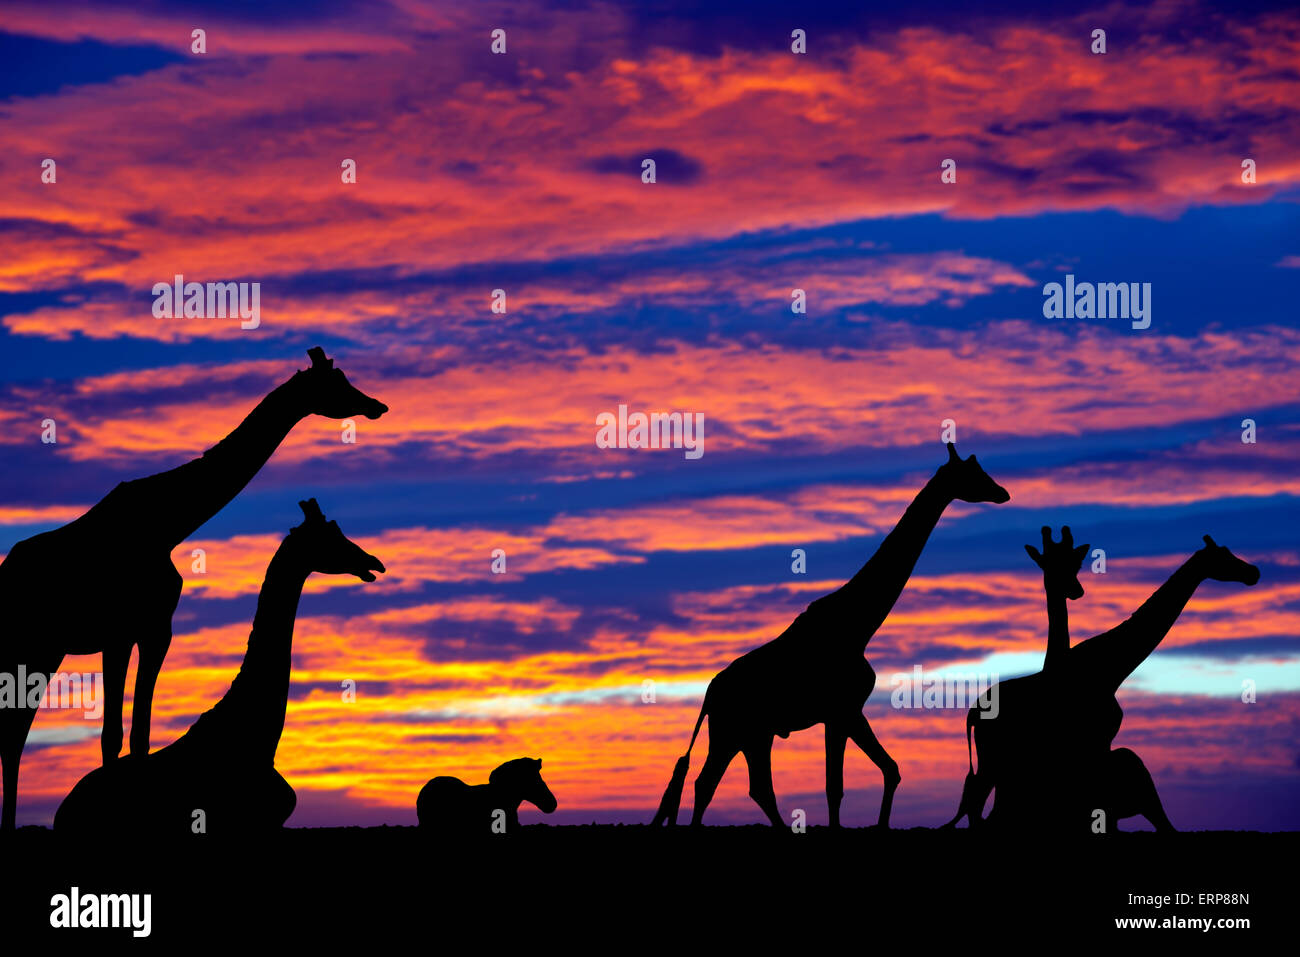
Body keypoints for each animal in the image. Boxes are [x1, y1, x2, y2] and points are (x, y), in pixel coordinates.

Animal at [651, 443, 1011, 828]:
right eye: (973, 473)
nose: (1003, 493)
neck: (857, 626)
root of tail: (709, 695)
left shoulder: (848, 711)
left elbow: (888, 770)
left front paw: (881, 825)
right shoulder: (841, 711)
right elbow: (835, 786)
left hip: (754, 735)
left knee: (749, 787)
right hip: (731, 732)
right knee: (709, 784)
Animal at [944, 534, 1260, 832]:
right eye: (1223, 556)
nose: (1253, 572)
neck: (1110, 670)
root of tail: (973, 712)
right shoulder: (1096, 740)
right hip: (997, 759)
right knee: (981, 805)